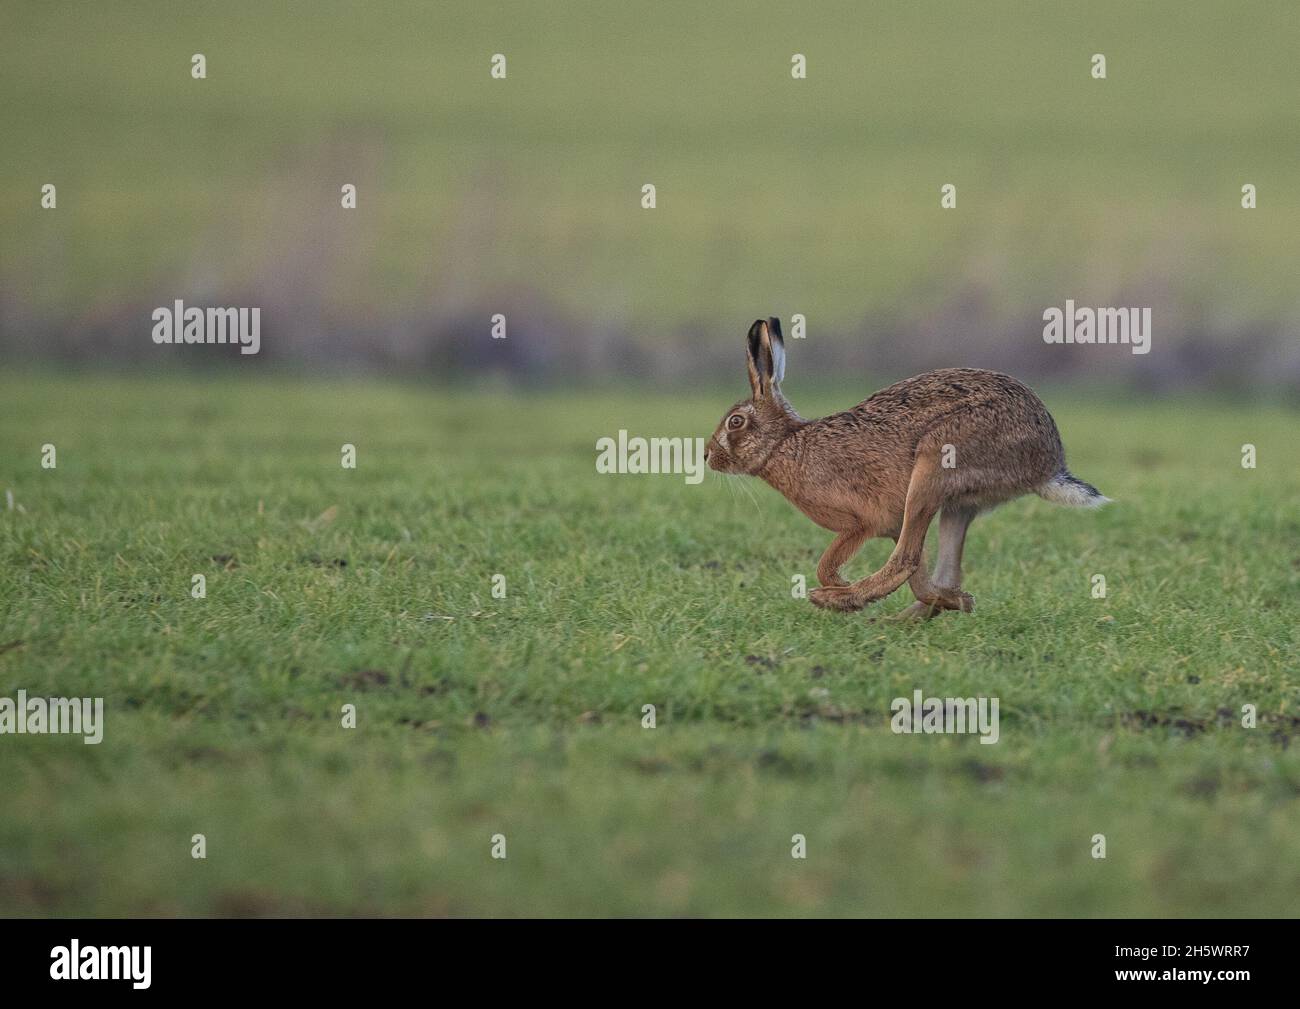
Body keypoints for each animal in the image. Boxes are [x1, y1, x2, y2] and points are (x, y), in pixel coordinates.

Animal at [705, 317, 1109, 616]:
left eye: (736, 422)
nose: (707, 456)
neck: (786, 444)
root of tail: (1048, 462)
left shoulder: (862, 523)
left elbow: (831, 563)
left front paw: (838, 586)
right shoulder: (890, 525)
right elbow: (921, 573)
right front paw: (952, 601)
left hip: (935, 463)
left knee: (905, 559)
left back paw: (839, 600)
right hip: (955, 502)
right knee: (940, 569)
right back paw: (934, 608)